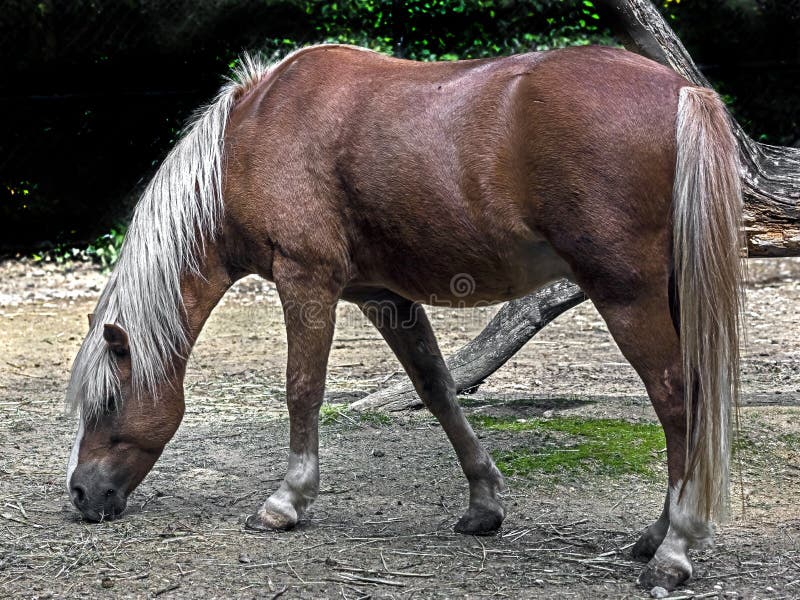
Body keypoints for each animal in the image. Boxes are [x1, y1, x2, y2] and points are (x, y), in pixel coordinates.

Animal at [65, 43, 743, 591]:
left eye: (107, 403)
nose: (80, 493)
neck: (252, 136)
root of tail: (682, 91)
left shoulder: (306, 280)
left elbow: (302, 389)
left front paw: (286, 501)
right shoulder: (384, 298)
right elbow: (437, 389)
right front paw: (484, 504)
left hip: (627, 295)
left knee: (679, 402)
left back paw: (675, 550)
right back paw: (655, 537)